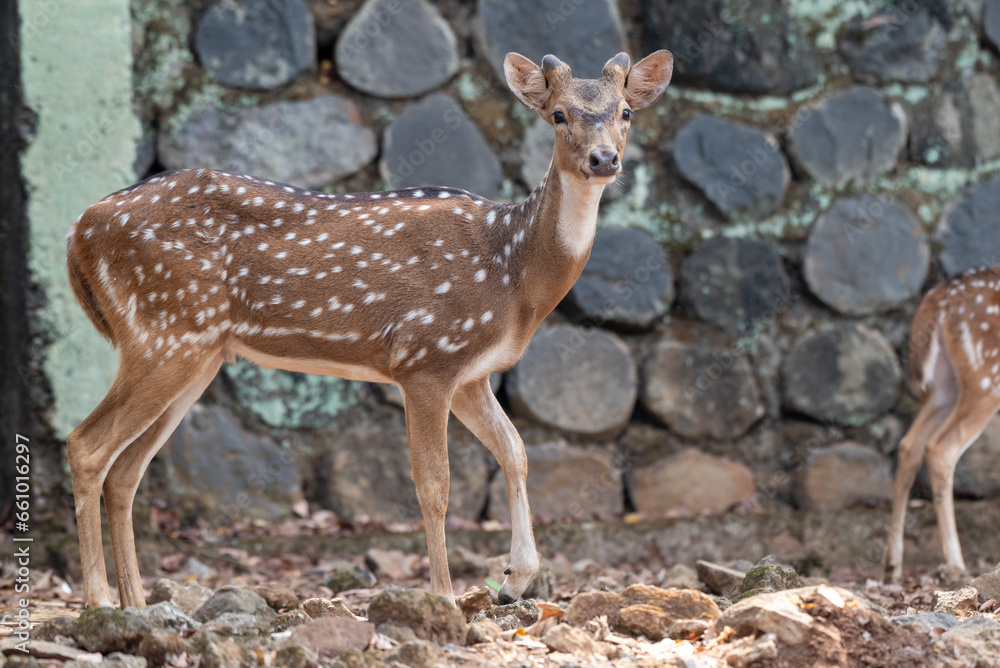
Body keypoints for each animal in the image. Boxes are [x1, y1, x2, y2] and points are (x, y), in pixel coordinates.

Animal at [65, 50, 674, 609]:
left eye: (624, 112)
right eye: (558, 114)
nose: (604, 158)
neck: (512, 277)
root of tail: (78, 232)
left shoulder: (470, 374)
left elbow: (516, 450)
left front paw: (514, 579)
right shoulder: (425, 357)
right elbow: (435, 485)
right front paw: (445, 597)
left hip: (196, 353)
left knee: (126, 471)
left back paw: (139, 604)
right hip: (165, 332)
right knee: (86, 445)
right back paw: (98, 600)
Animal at [885, 265, 1000, 584]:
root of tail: (941, 298)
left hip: (942, 385)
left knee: (908, 445)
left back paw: (892, 565)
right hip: (986, 377)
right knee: (940, 448)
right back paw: (956, 565)